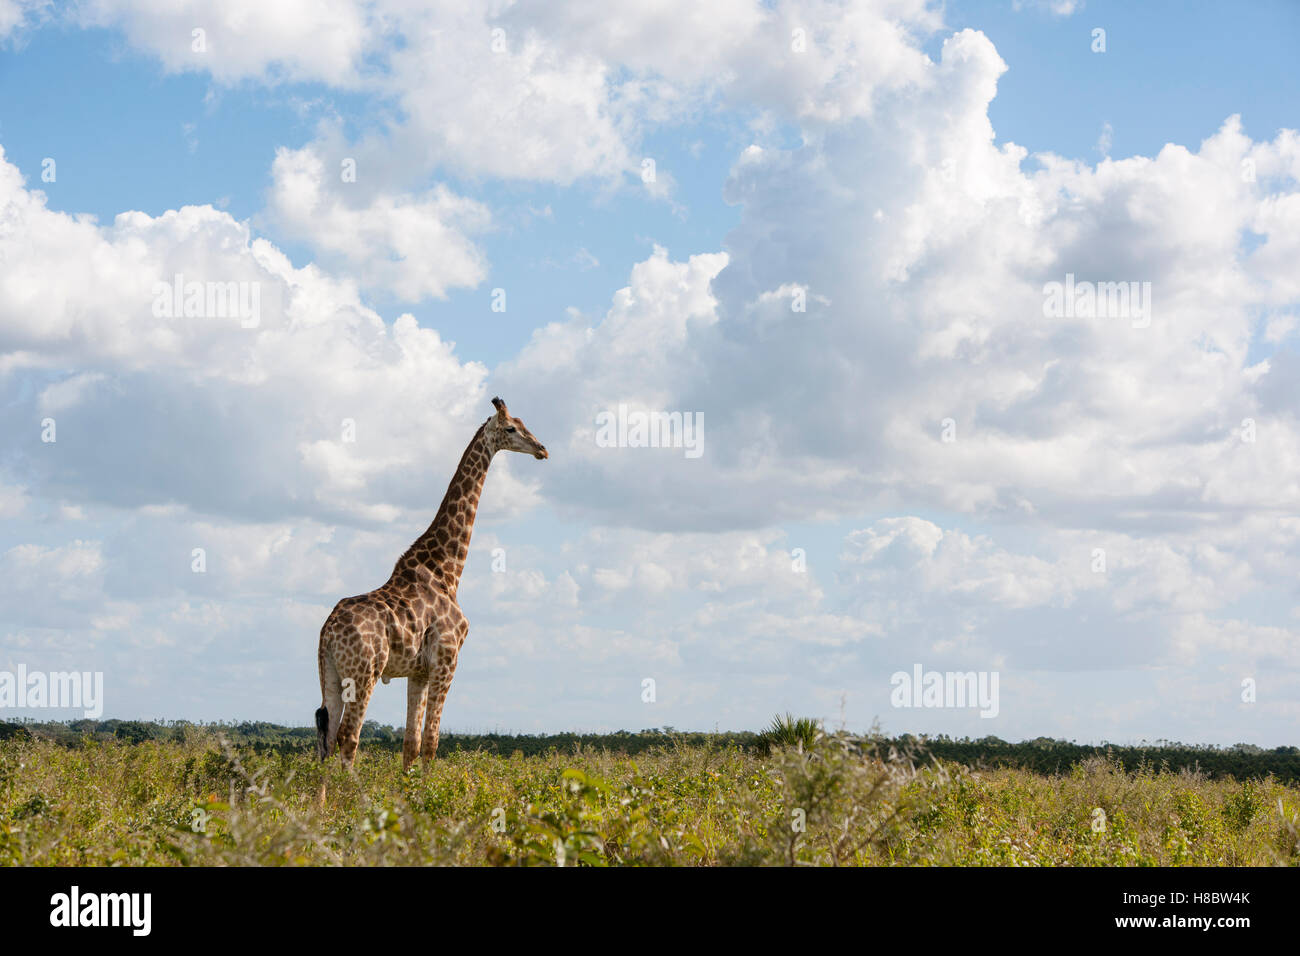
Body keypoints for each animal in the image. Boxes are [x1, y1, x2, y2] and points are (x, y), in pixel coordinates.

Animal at [315, 397, 547, 772]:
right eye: (512, 428)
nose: (542, 449)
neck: (447, 571)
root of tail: (328, 630)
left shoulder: (419, 671)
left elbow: (411, 743)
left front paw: (406, 788)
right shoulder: (447, 659)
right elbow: (432, 742)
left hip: (331, 673)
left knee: (326, 735)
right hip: (364, 672)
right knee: (348, 736)